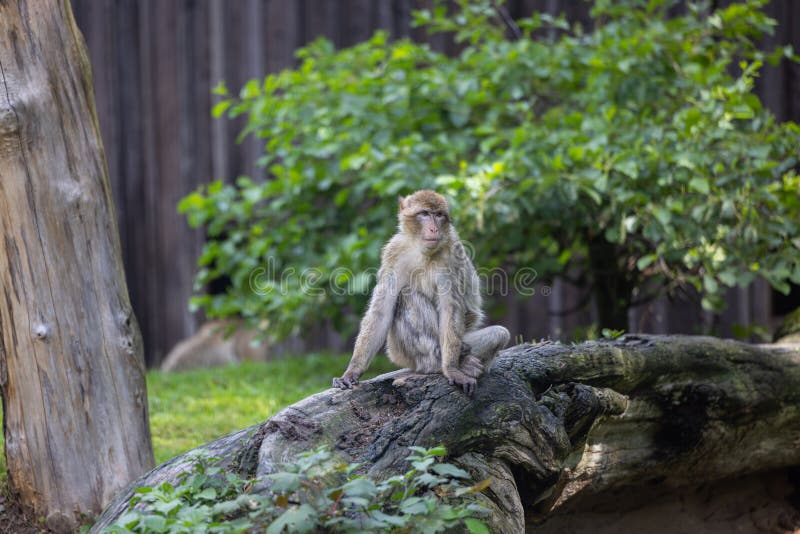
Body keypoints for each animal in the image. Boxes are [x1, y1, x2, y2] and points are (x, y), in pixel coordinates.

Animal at [333, 190, 510, 395]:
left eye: (439, 215)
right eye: (424, 214)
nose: (433, 229)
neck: (422, 251)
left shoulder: (451, 256)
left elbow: (450, 309)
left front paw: (451, 368)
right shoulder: (394, 252)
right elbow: (381, 311)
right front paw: (353, 370)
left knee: (499, 334)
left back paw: (453, 363)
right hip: (398, 353)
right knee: (407, 296)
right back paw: (443, 363)